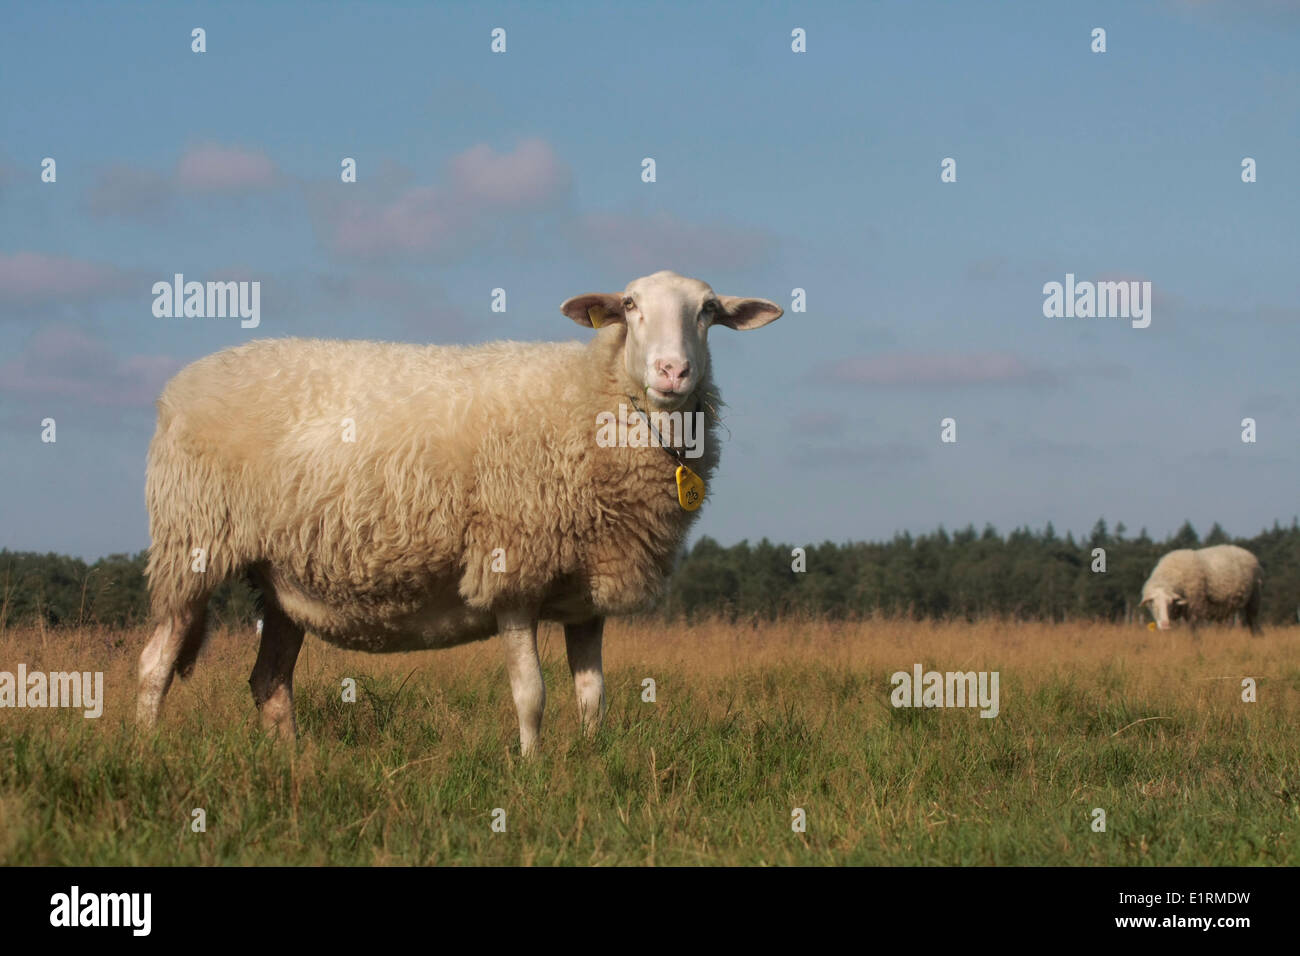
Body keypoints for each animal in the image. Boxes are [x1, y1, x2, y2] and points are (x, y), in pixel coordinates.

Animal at [137, 270, 782, 753]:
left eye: (707, 310)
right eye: (629, 305)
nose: (672, 372)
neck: (594, 399)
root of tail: (176, 388)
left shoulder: (588, 591)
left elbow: (593, 696)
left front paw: (593, 761)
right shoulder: (513, 572)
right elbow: (532, 695)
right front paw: (532, 772)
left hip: (283, 579)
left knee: (269, 680)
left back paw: (291, 761)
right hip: (191, 542)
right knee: (154, 665)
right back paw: (146, 752)